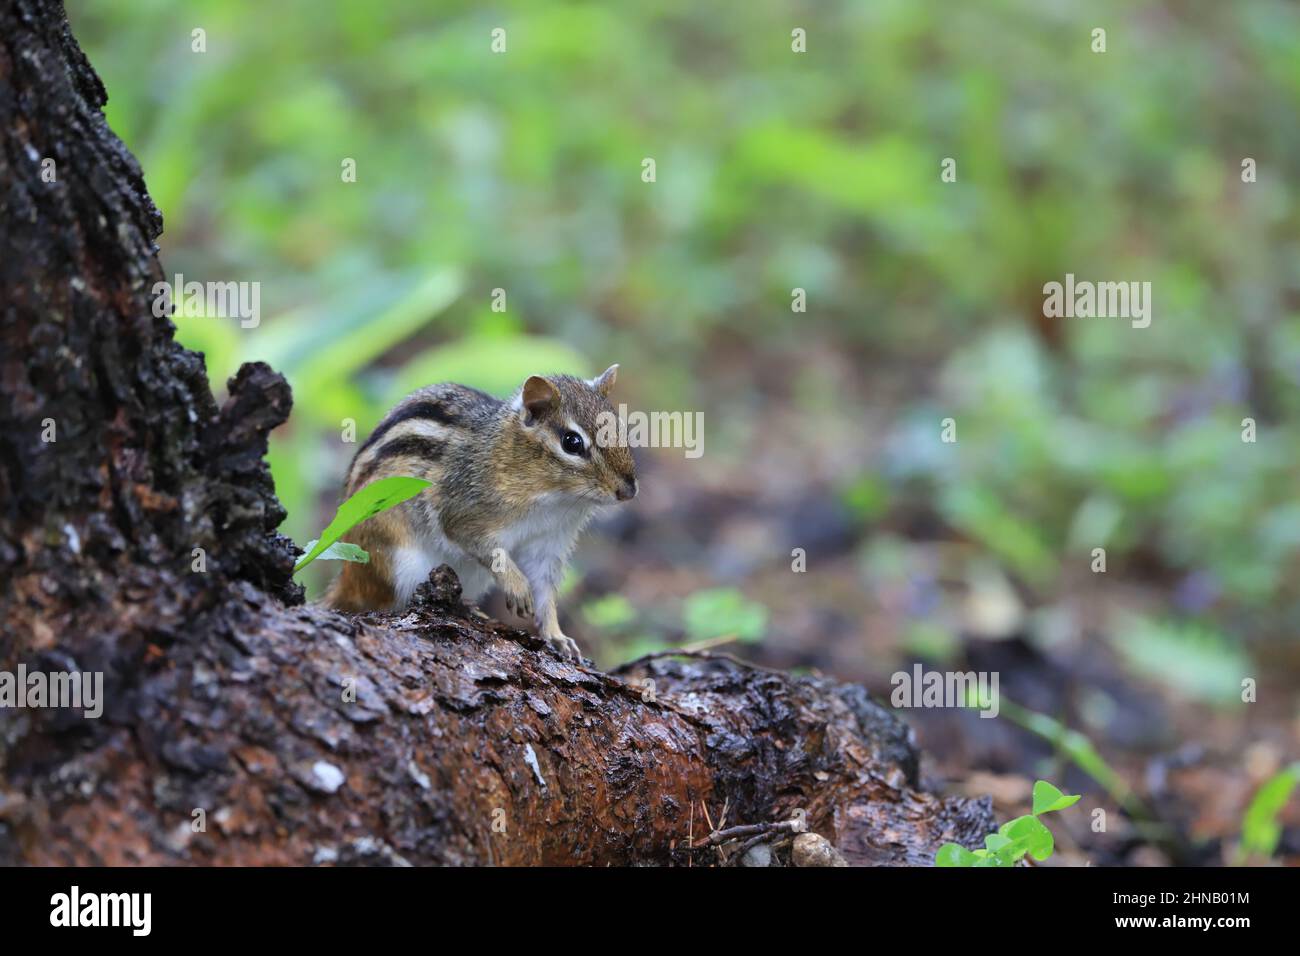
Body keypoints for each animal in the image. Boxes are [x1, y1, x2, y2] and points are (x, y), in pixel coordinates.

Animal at [322, 365, 637, 660]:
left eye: (620, 429)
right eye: (572, 442)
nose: (629, 491)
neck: (554, 500)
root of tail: (348, 577)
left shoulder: (549, 542)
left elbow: (545, 591)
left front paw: (556, 635)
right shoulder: (463, 510)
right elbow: (482, 546)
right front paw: (517, 586)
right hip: (396, 558)